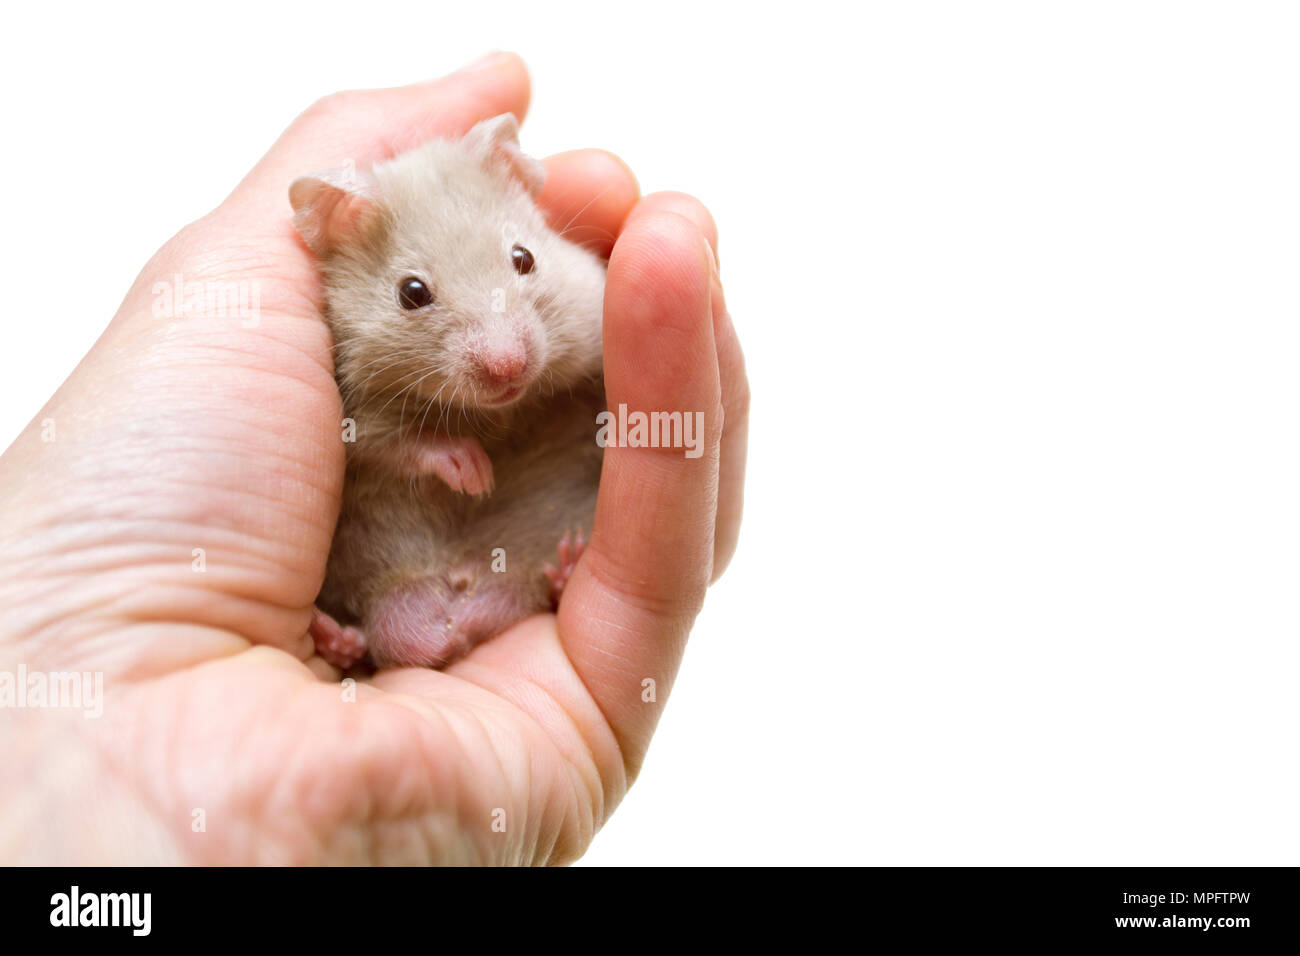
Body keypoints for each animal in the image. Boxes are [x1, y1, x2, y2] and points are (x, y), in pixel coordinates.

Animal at [289, 114, 607, 670]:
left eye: (524, 258)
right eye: (411, 293)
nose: (508, 368)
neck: (493, 411)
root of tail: (456, 597)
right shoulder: (347, 406)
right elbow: (397, 443)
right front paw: (475, 474)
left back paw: (566, 566)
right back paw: (336, 638)